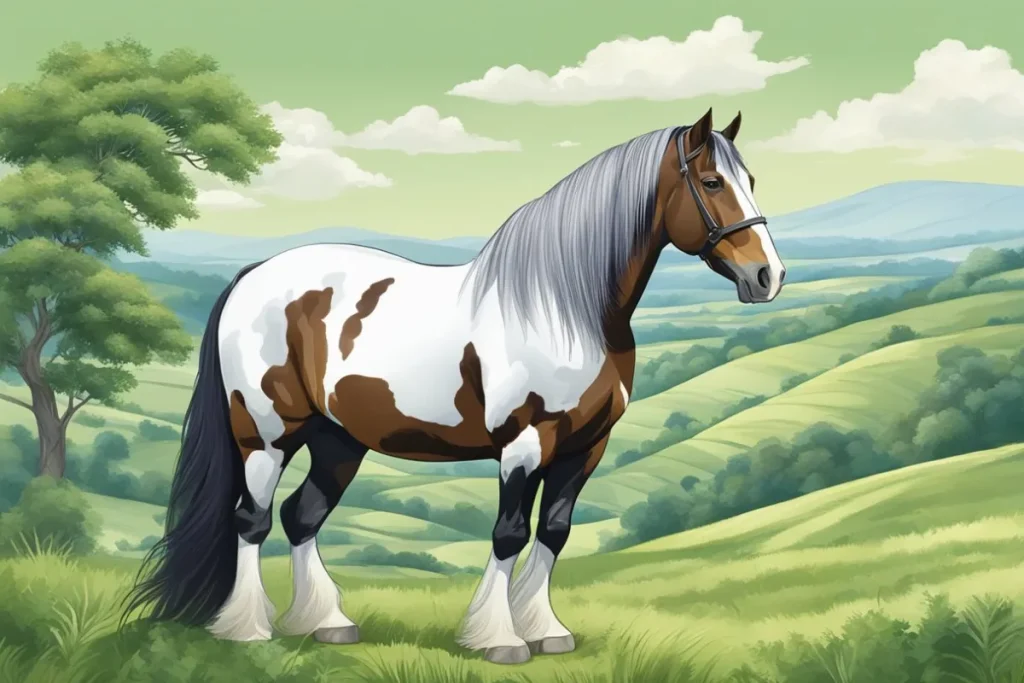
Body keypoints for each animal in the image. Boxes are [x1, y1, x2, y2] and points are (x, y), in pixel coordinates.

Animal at [122, 108, 786, 665]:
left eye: (751, 178)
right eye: (712, 183)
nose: (768, 276)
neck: (565, 309)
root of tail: (253, 275)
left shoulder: (585, 447)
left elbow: (554, 533)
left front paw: (547, 632)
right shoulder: (524, 443)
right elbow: (509, 534)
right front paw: (500, 640)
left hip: (338, 439)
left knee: (301, 516)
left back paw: (325, 623)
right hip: (266, 434)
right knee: (252, 519)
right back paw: (246, 629)